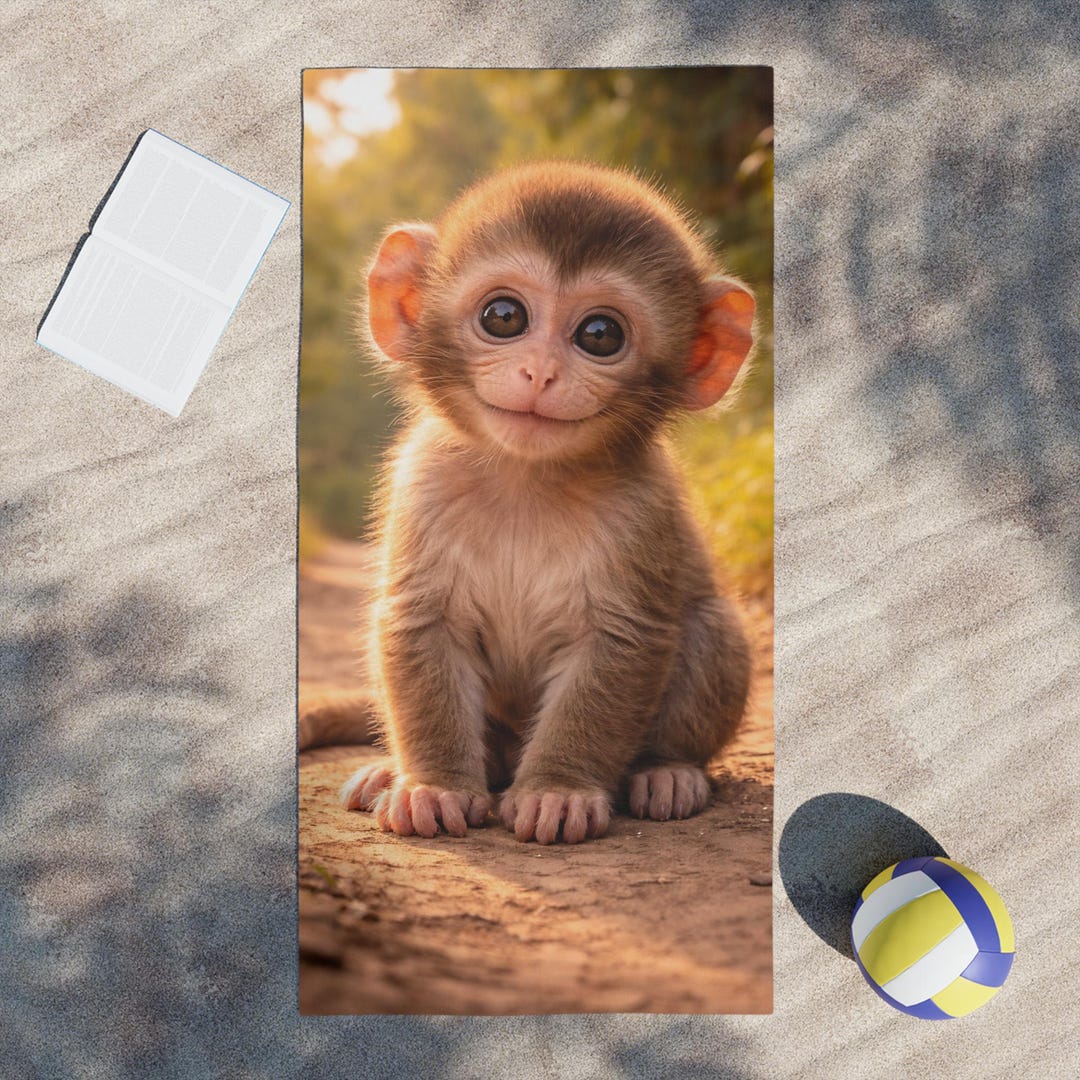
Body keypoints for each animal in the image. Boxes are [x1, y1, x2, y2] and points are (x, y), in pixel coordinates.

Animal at [309, 161, 755, 845]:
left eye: (600, 334)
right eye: (503, 317)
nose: (541, 373)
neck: (527, 480)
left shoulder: (642, 508)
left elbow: (619, 643)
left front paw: (559, 789)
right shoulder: (421, 481)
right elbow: (420, 621)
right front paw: (434, 784)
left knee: (712, 628)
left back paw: (667, 770)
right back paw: (397, 769)